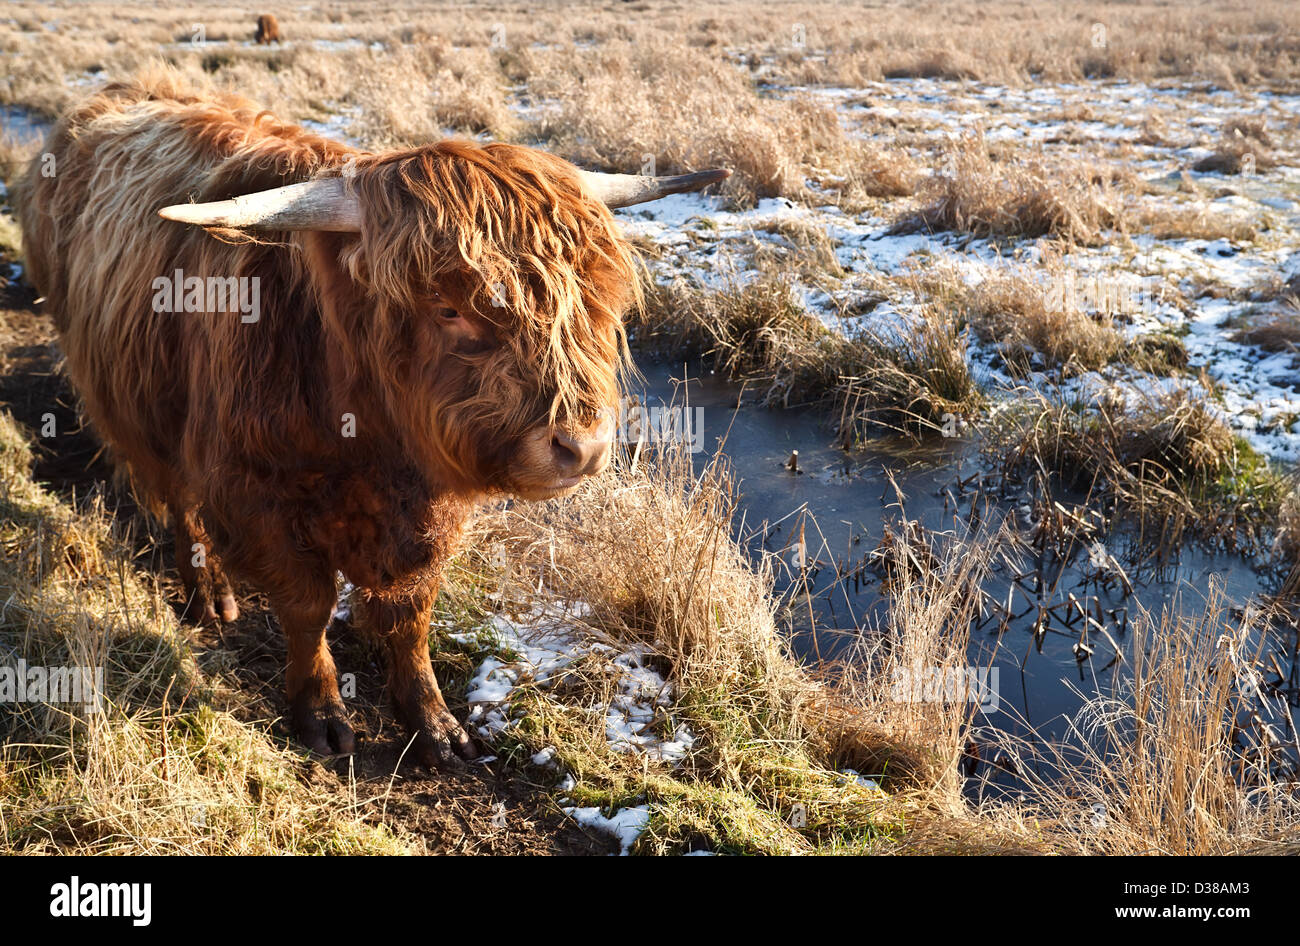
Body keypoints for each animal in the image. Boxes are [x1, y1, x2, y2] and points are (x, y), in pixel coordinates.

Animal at [14, 70, 726, 768]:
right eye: (447, 307)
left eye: (588, 291)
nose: (581, 446)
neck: (366, 437)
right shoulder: (253, 492)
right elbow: (307, 607)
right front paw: (321, 712)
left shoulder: (430, 509)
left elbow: (410, 613)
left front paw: (434, 722)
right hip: (141, 410)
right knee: (178, 501)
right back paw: (209, 594)